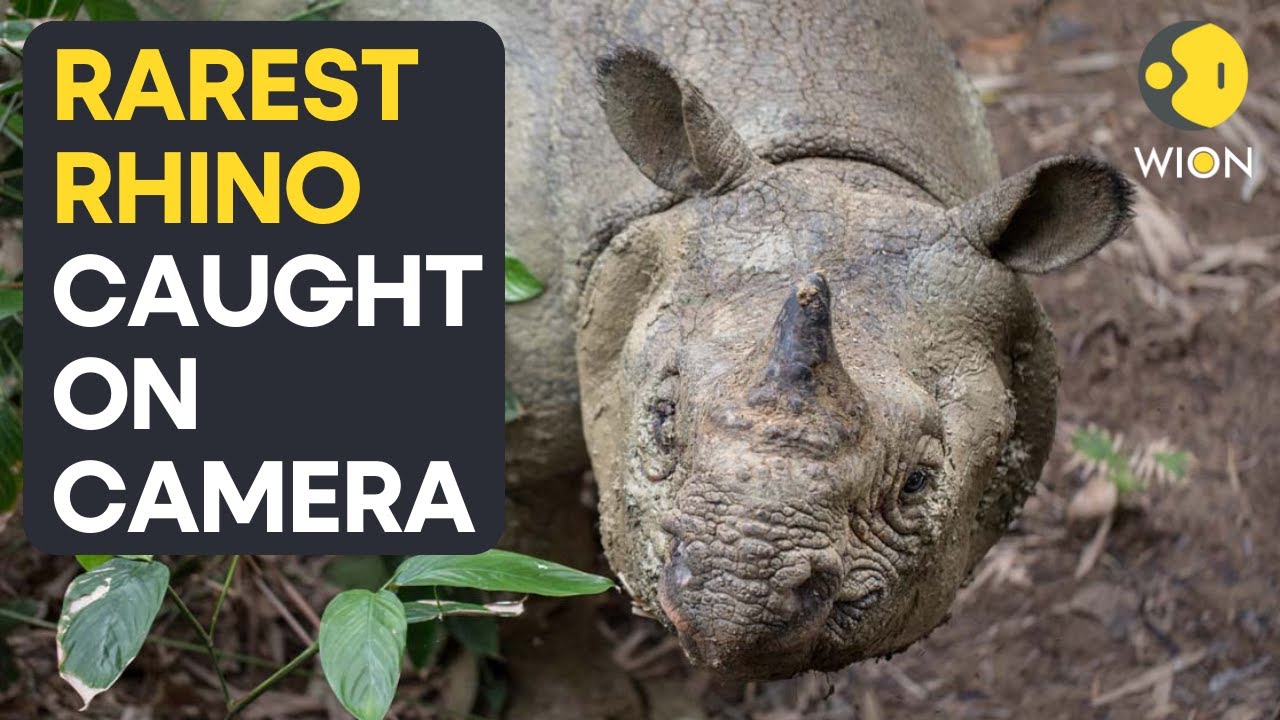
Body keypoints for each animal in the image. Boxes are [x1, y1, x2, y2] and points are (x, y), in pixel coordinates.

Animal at [205, 0, 1133, 711]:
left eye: (916, 484)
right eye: (659, 422)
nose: (734, 596)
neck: (840, 159)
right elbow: (525, 578)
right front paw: (592, 708)